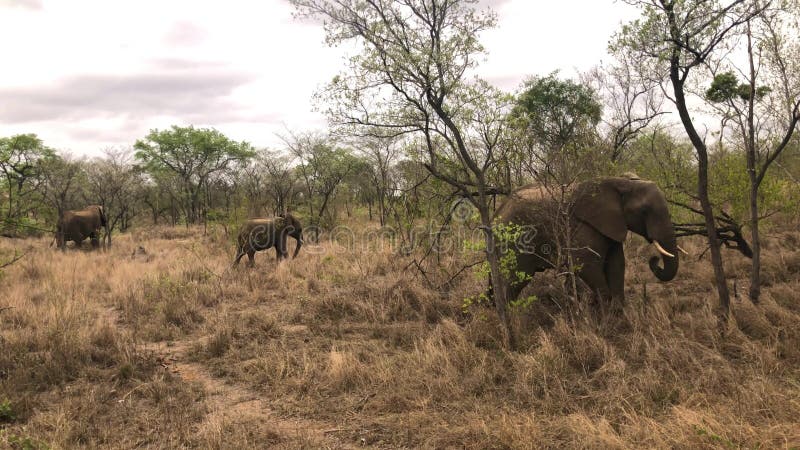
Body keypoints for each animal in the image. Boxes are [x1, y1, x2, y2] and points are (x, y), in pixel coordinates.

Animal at [493, 175, 682, 305]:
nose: (654, 260)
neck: (621, 182)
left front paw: (619, 315)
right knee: (515, 281)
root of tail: (499, 210)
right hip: (516, 239)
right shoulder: (584, 226)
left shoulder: (610, 226)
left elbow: (617, 264)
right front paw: (607, 316)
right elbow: (585, 265)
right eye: (644, 211)